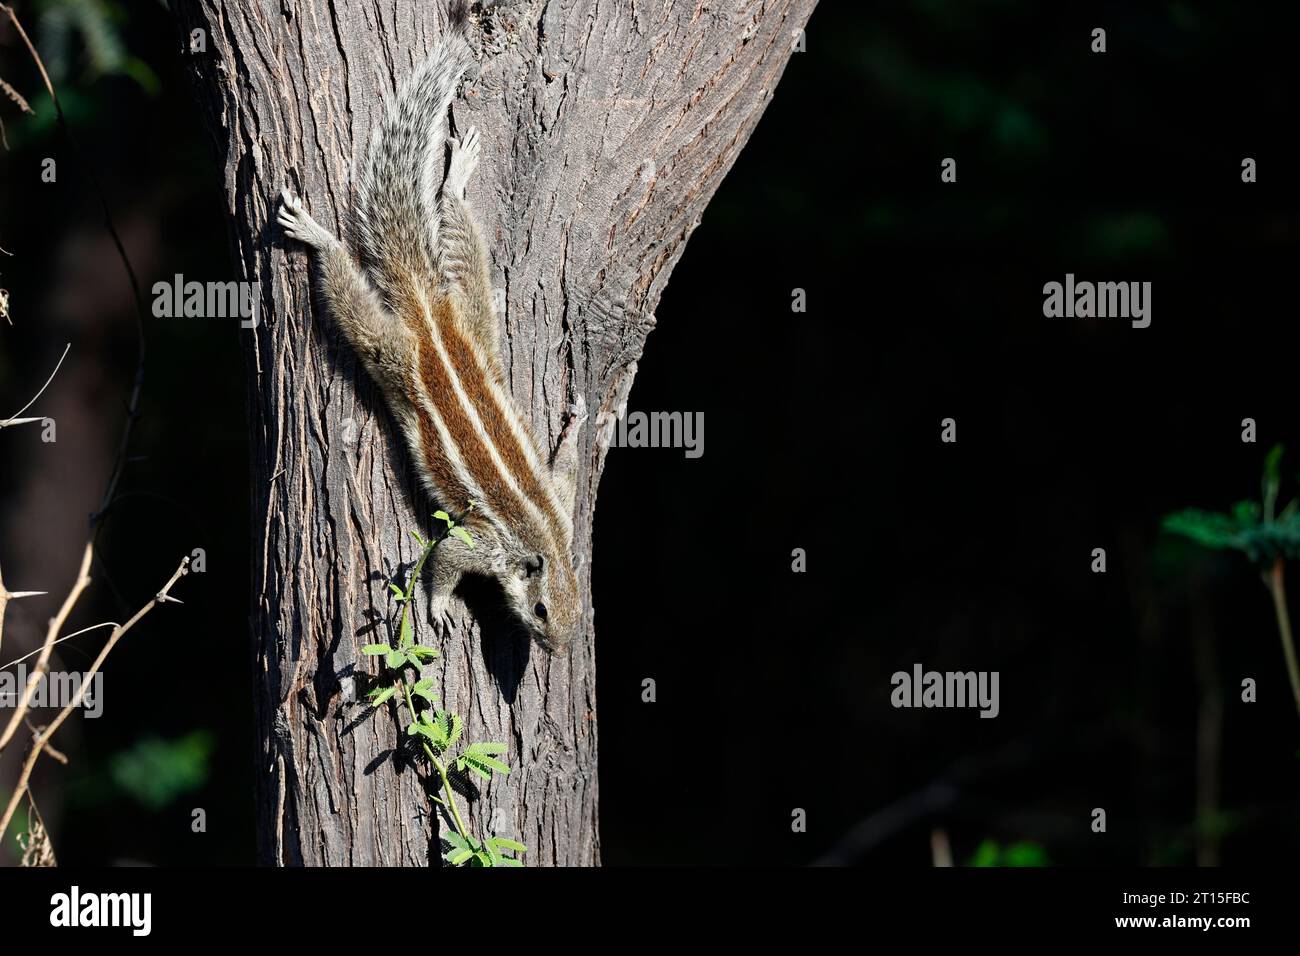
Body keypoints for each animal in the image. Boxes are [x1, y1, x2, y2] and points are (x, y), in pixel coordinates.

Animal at [276, 16, 584, 655]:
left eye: (577, 617)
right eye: (541, 610)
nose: (555, 649)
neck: (544, 536)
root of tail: (428, 311)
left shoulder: (563, 506)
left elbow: (565, 467)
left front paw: (578, 420)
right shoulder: (485, 544)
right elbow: (444, 559)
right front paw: (439, 607)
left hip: (474, 310)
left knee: (457, 225)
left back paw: (458, 181)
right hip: (390, 350)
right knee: (350, 293)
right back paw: (318, 235)